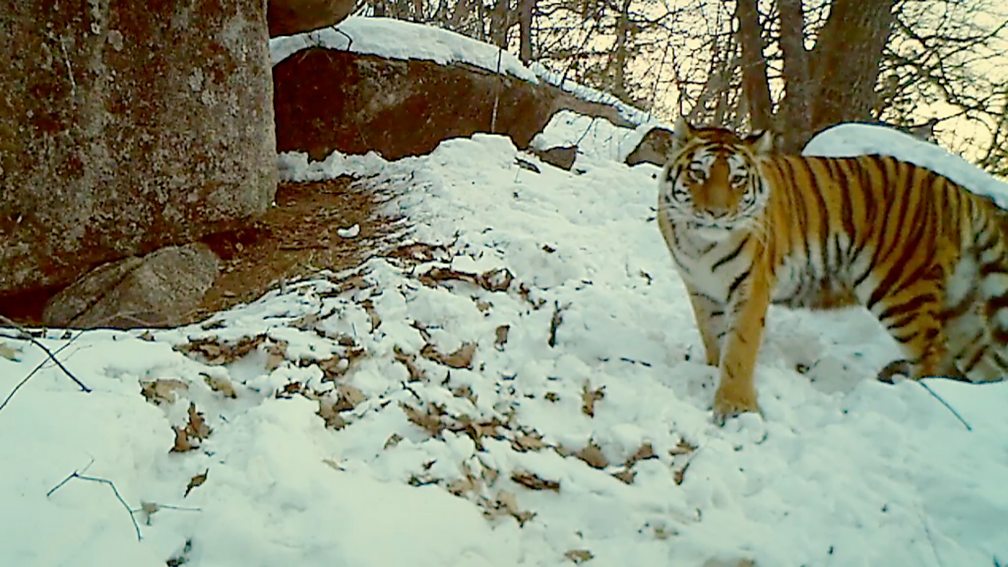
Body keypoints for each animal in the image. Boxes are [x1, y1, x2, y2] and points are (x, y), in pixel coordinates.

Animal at [656, 118, 1008, 423]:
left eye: (737, 179)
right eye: (698, 173)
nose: (716, 213)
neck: (701, 245)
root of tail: (959, 192)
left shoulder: (750, 288)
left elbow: (739, 349)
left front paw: (735, 408)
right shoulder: (700, 288)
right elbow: (714, 338)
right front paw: (713, 373)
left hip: (901, 293)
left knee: (934, 355)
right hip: (959, 307)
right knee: (982, 364)